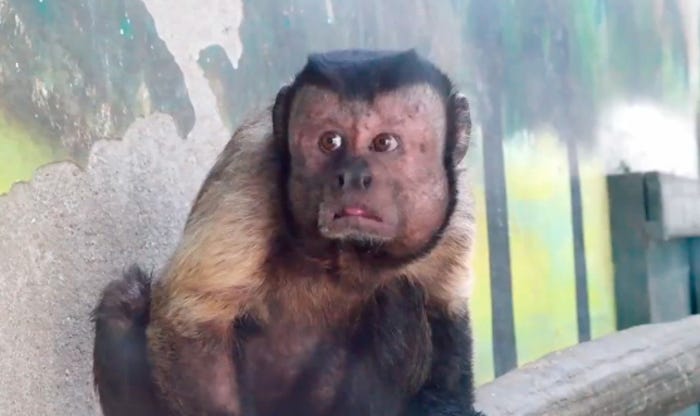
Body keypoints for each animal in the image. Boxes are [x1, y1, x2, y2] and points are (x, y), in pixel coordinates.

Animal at [92, 48, 483, 416]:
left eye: (384, 143)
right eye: (330, 141)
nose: (352, 176)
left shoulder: (456, 211)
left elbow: (445, 309)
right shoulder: (250, 170)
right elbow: (193, 318)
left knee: (399, 294)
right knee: (125, 298)